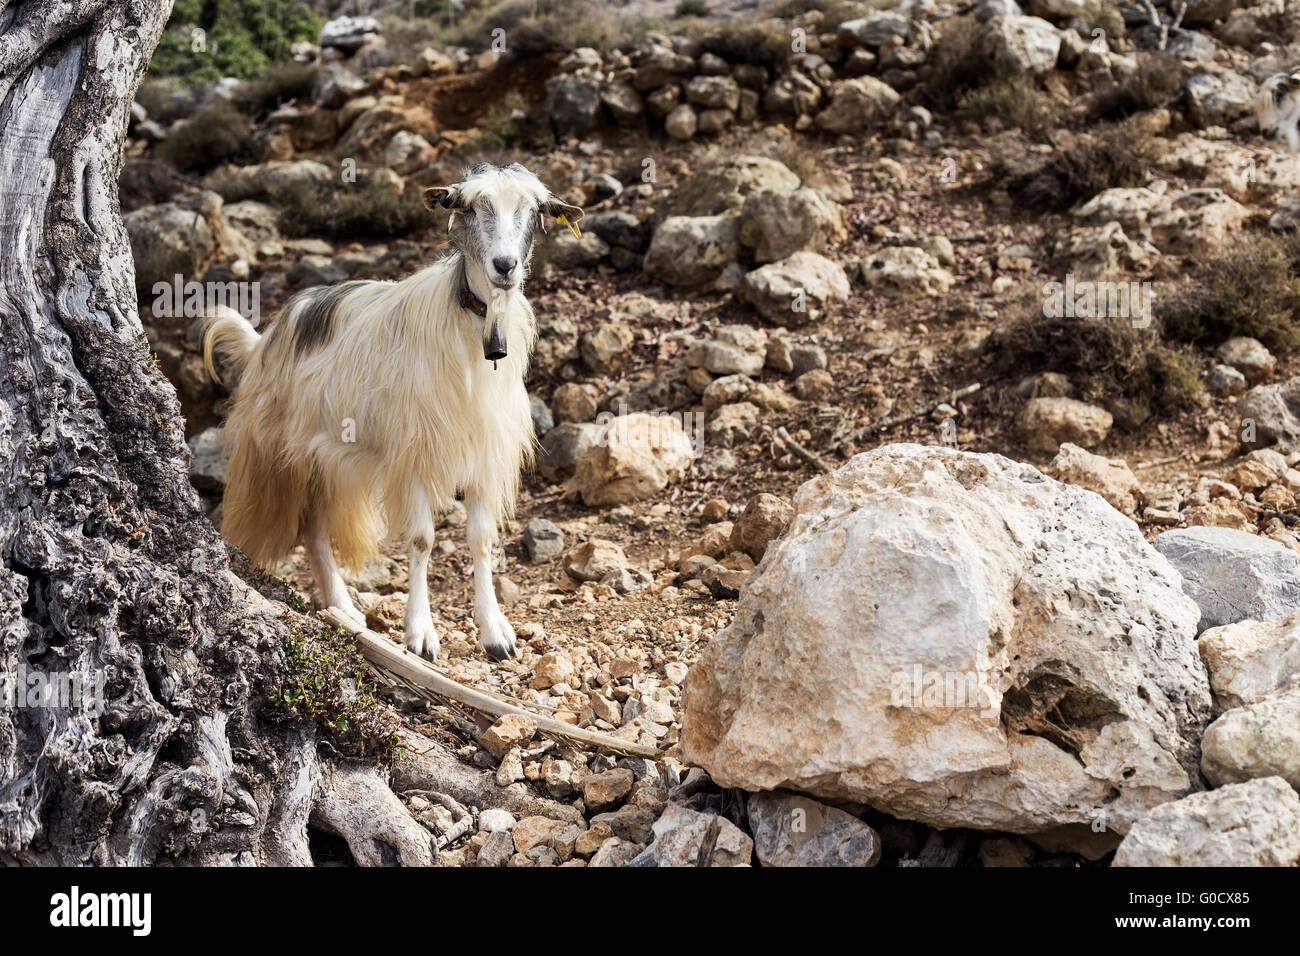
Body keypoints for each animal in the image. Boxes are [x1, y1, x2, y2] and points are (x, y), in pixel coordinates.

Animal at [202, 163, 583, 661]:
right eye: (470, 207)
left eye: (533, 210)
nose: (504, 266)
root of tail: (266, 337)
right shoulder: (415, 456)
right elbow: (422, 540)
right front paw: (421, 634)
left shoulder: (485, 454)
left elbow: (481, 540)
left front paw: (495, 632)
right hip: (287, 457)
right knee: (311, 530)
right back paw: (344, 607)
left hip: (328, 460)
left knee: (315, 528)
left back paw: (342, 606)